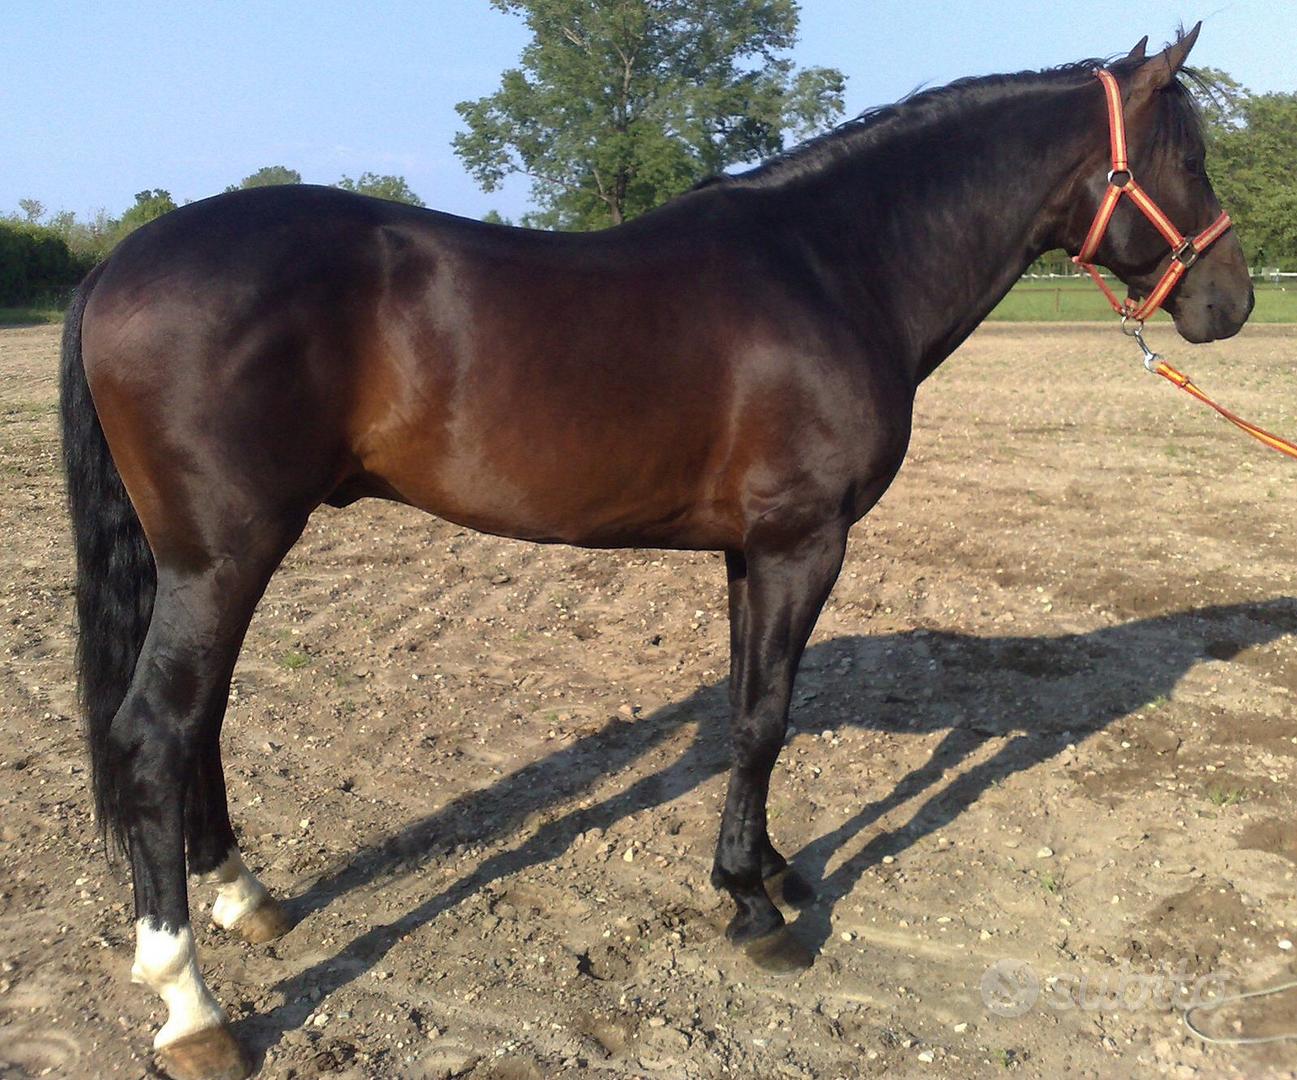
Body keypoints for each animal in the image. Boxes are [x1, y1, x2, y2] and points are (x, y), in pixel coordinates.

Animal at [60, 26, 1251, 1080]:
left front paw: (769, 871)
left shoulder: (748, 553)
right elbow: (765, 718)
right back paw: (189, 1006)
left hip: (208, 564)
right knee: (160, 731)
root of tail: (122, 262)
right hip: (224, 557)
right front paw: (753, 908)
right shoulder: (801, 543)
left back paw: (243, 895)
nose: (1231, 302)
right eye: (1188, 161)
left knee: (200, 721)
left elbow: (749, 707)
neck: (834, 266)